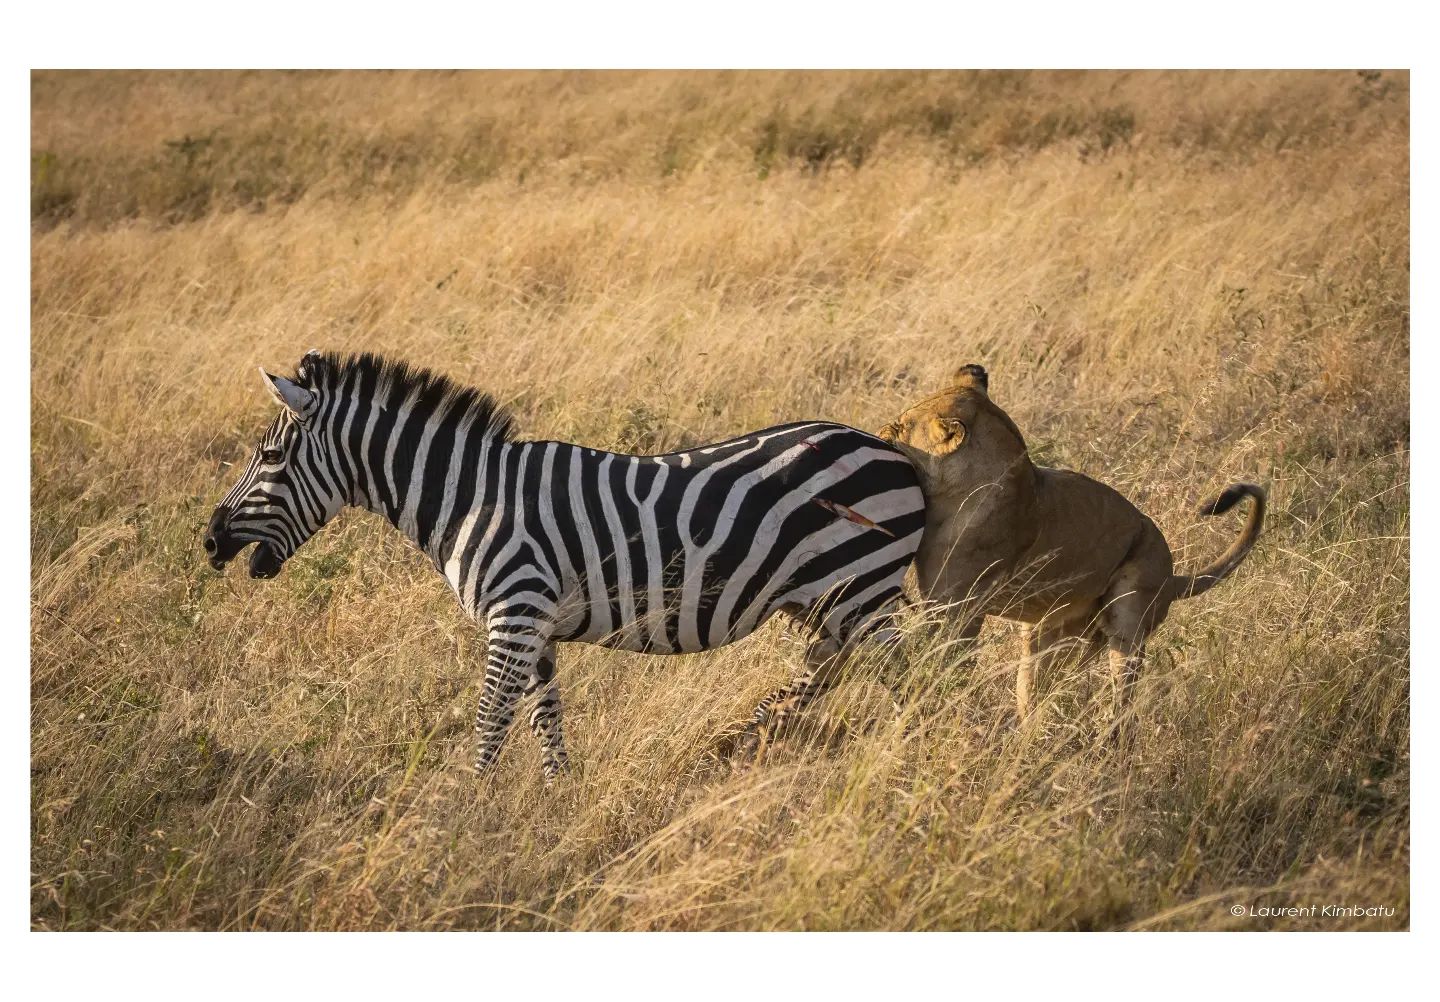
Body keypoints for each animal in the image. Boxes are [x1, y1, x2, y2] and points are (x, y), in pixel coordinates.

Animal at [204, 350, 926, 781]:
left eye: (270, 457)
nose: (209, 541)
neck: (469, 497)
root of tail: (890, 447)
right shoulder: (533, 625)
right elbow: (543, 717)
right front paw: (556, 798)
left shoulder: (515, 612)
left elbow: (490, 717)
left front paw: (467, 812)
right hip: (829, 602)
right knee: (835, 673)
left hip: (860, 588)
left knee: (919, 674)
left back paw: (922, 757)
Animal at [878, 364, 1265, 727]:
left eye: (900, 427)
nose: (879, 430)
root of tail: (1172, 575)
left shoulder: (957, 607)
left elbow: (946, 658)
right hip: (1051, 638)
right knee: (1038, 699)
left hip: (1128, 620)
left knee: (1123, 699)